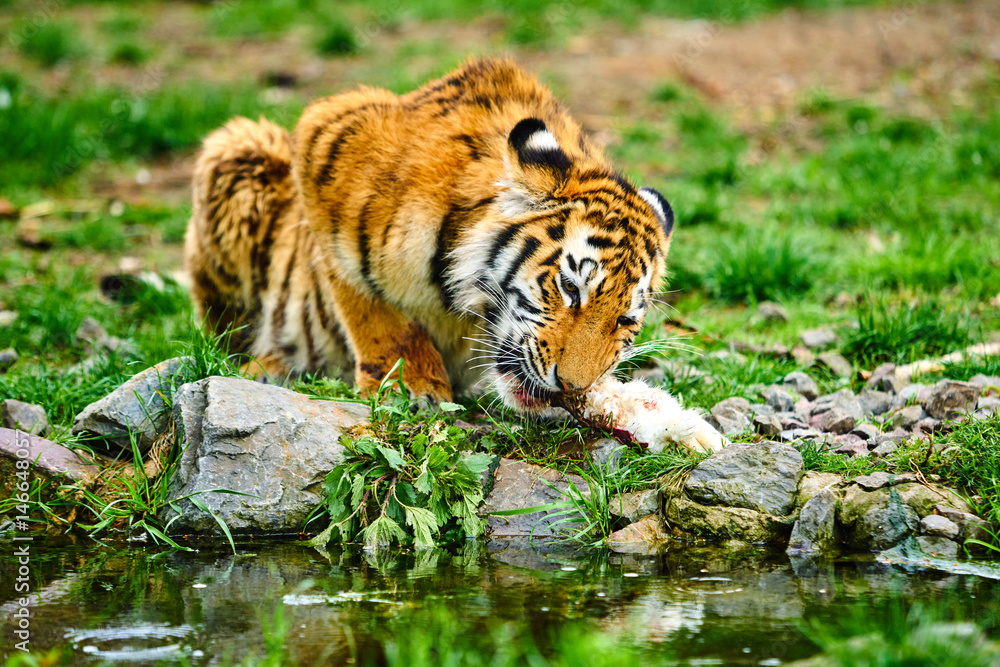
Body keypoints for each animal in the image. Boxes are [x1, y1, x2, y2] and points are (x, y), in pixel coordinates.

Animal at [185, 57, 692, 421]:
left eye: (624, 320)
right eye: (570, 289)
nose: (573, 388)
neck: (461, 310)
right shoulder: (327, 133)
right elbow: (371, 304)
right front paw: (408, 385)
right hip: (238, 149)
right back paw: (264, 367)